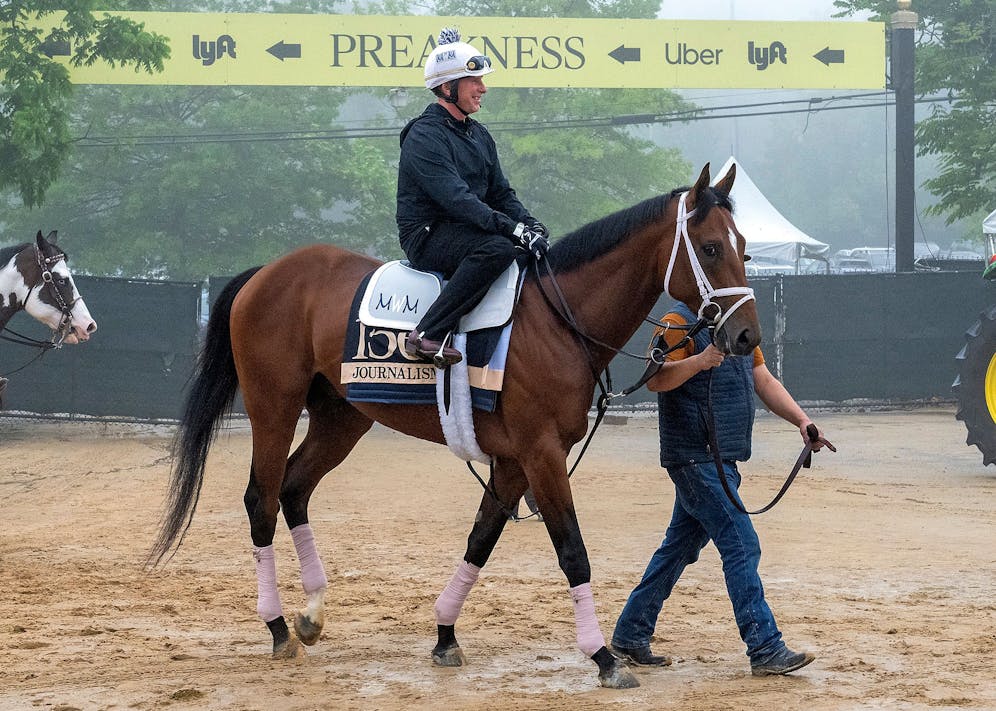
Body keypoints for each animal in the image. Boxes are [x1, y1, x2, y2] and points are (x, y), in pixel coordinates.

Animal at [150, 163, 760, 689]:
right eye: (710, 248)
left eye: (745, 248)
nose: (746, 337)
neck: (557, 319)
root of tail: (268, 273)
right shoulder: (542, 455)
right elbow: (572, 551)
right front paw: (604, 657)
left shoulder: (514, 462)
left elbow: (480, 539)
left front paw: (445, 633)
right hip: (273, 408)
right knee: (262, 498)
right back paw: (277, 627)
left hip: (341, 417)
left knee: (295, 488)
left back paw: (311, 613)